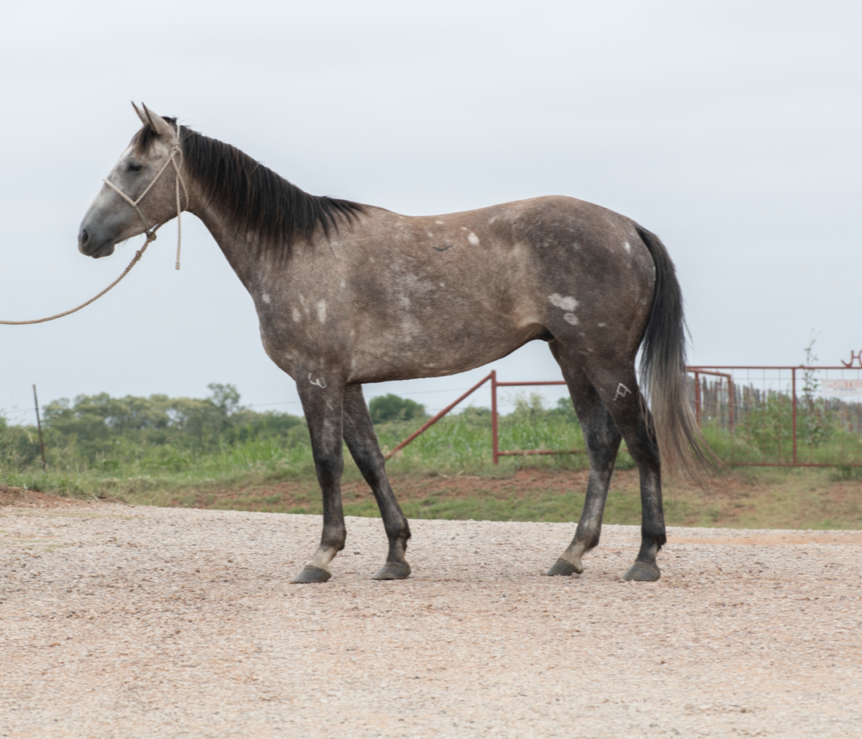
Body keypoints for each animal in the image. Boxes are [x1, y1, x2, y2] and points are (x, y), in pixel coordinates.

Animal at [78, 103, 713, 584]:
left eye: (134, 165)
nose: (85, 237)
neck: (295, 251)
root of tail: (628, 228)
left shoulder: (316, 378)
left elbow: (327, 462)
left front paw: (322, 556)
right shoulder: (350, 382)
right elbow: (370, 460)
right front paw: (395, 555)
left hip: (605, 360)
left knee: (641, 442)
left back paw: (645, 558)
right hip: (572, 357)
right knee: (602, 444)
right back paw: (571, 554)